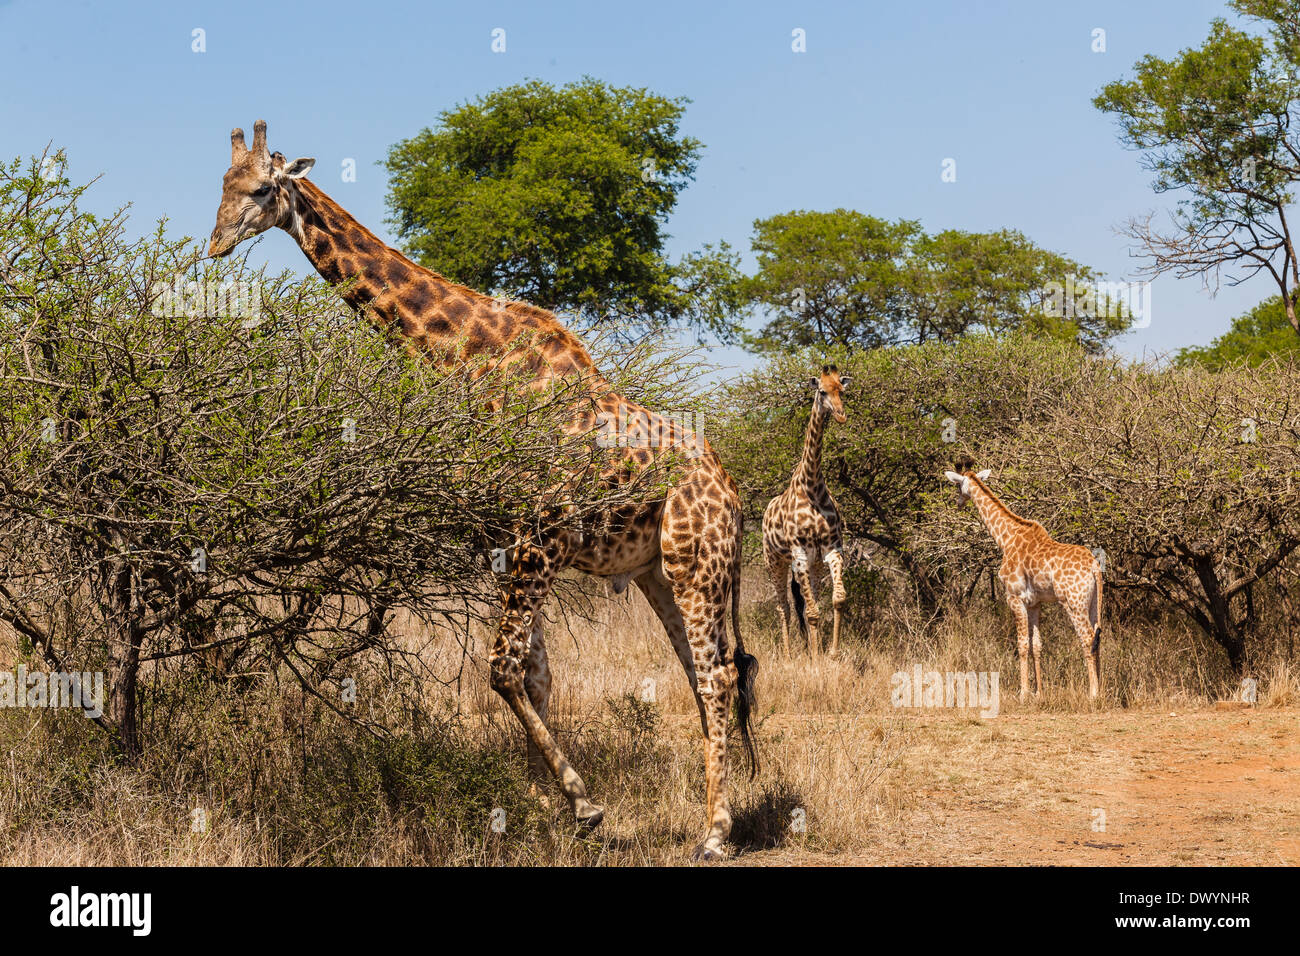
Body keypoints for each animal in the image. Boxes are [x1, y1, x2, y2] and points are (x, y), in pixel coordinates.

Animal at [208, 120, 758, 860]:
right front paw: (554, 813)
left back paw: (716, 835)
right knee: (704, 674)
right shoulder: (508, 545)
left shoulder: (541, 537)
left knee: (719, 674)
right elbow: (533, 674)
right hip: (658, 571)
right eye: (222, 183)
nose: (214, 244)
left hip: (696, 563)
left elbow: (501, 669)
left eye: (263, 188)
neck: (472, 357)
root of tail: (731, 491)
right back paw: (716, 815)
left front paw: (582, 806)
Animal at [762, 364, 851, 657]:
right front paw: (813, 657)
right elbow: (810, 612)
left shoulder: (831, 549)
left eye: (842, 390)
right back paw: (789, 655)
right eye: (821, 391)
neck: (812, 487)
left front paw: (829, 652)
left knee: (806, 602)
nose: (841, 415)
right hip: (774, 562)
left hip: (814, 565)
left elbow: (837, 600)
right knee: (784, 608)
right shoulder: (798, 551)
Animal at [943, 468, 1102, 700]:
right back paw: (1104, 689)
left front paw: (1023, 693)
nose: (958, 502)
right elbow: (1037, 645)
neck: (1006, 538)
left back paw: (1093, 694)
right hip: (1092, 603)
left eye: (957, 485)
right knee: (1098, 637)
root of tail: (1094, 566)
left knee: (1088, 638)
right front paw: (1039, 693)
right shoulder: (1034, 602)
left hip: (1073, 603)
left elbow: (1022, 644)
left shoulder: (1014, 597)